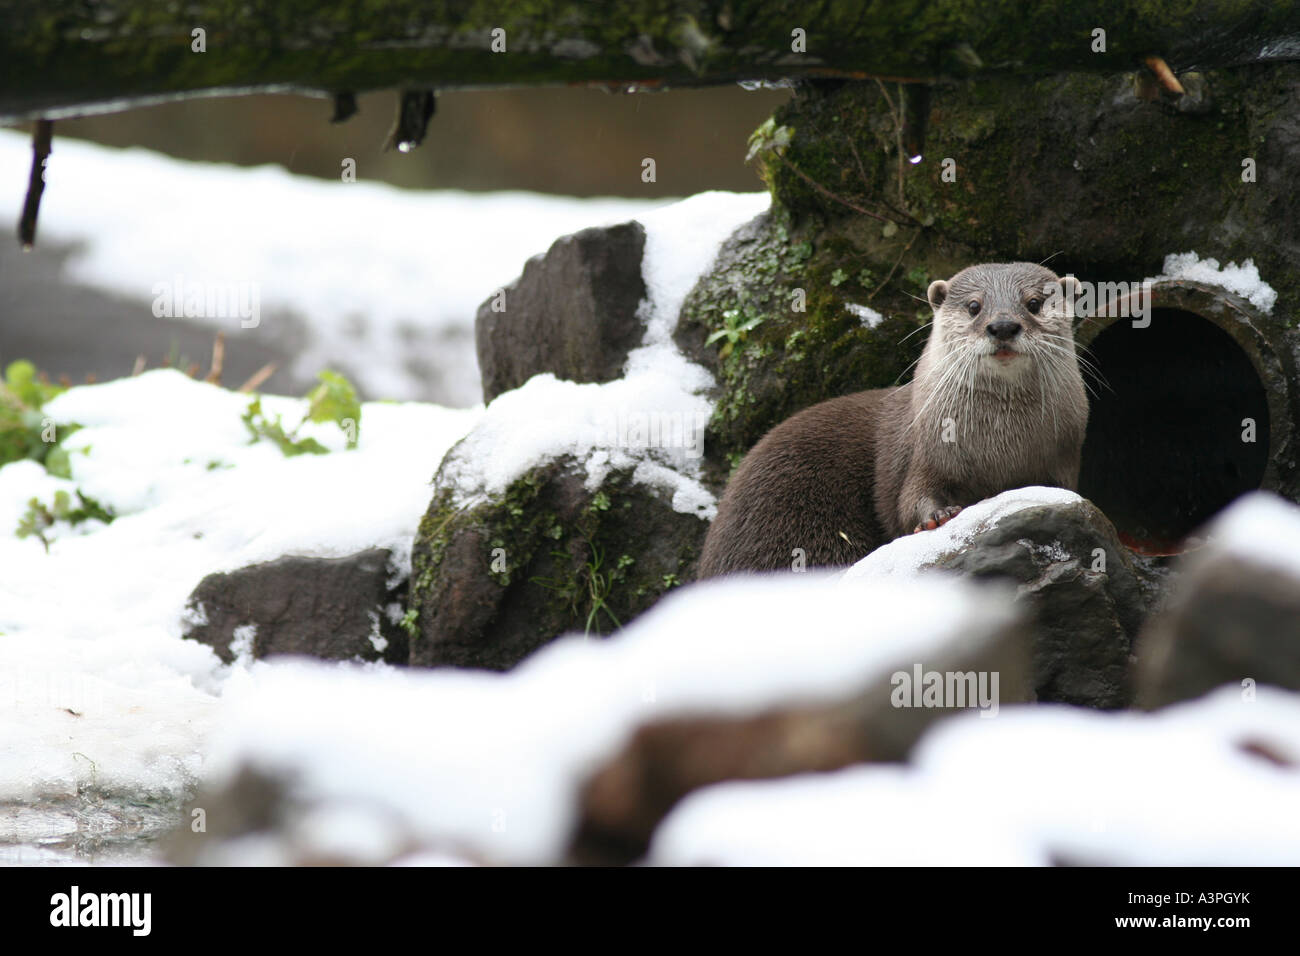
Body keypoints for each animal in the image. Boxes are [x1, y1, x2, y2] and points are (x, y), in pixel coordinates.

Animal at [696, 262, 1089, 578]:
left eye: (1034, 303)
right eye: (974, 306)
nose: (1003, 325)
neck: (1002, 449)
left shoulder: (1066, 455)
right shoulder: (925, 453)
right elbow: (908, 502)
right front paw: (937, 516)